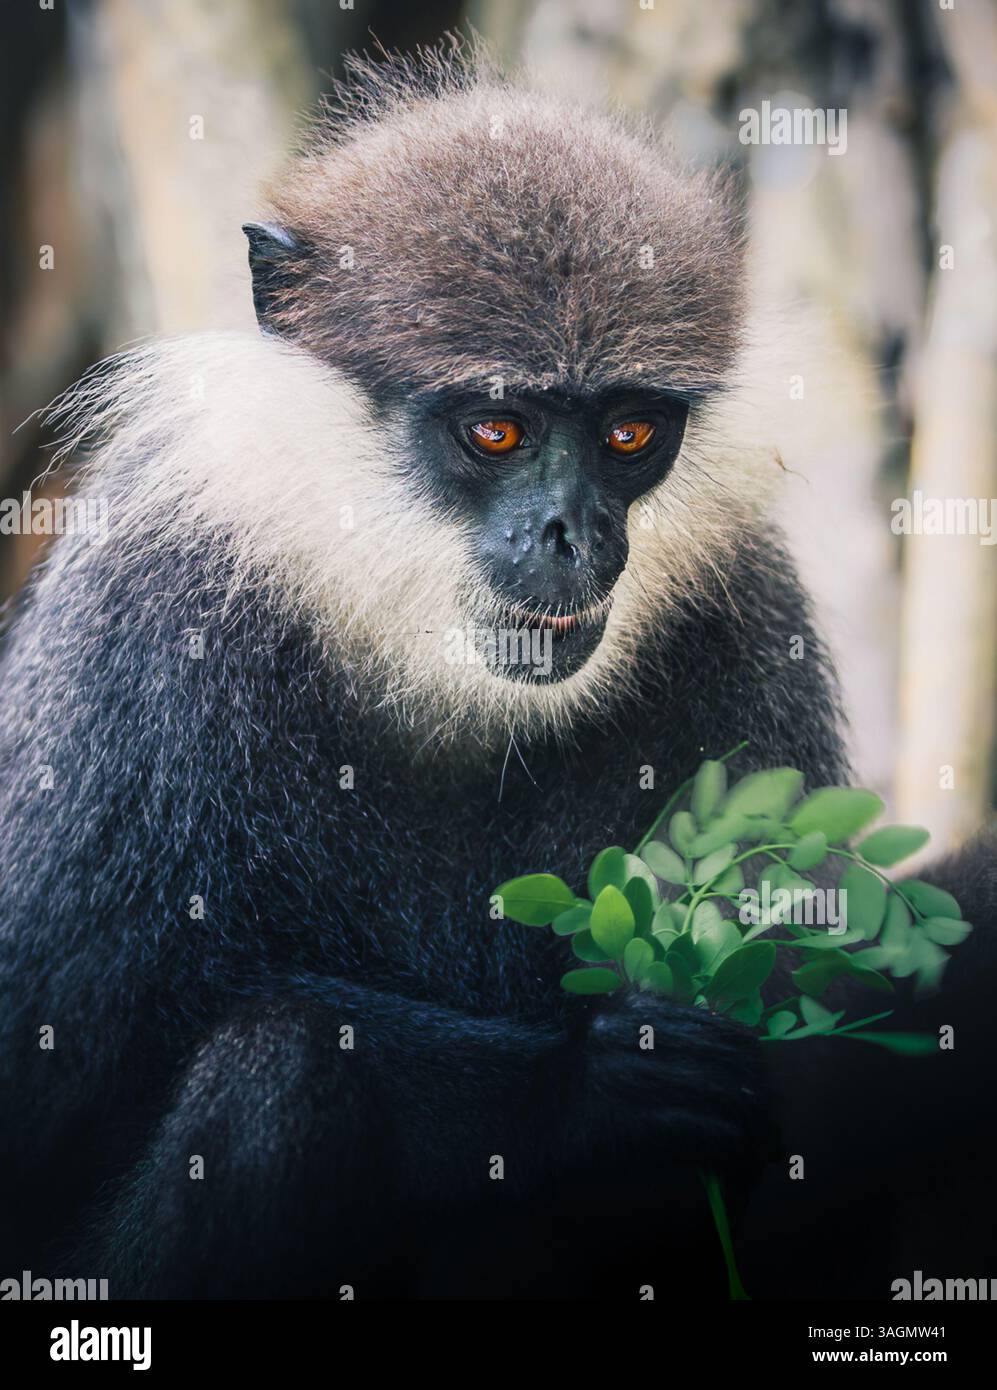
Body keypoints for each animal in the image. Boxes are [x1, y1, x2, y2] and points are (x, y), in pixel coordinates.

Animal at [0, 41, 994, 1300]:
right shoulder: (129, 632)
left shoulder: (749, 625)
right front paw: (581, 1092)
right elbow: (38, 1128)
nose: (574, 532)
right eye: (496, 432)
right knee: (282, 1067)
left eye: (628, 433)